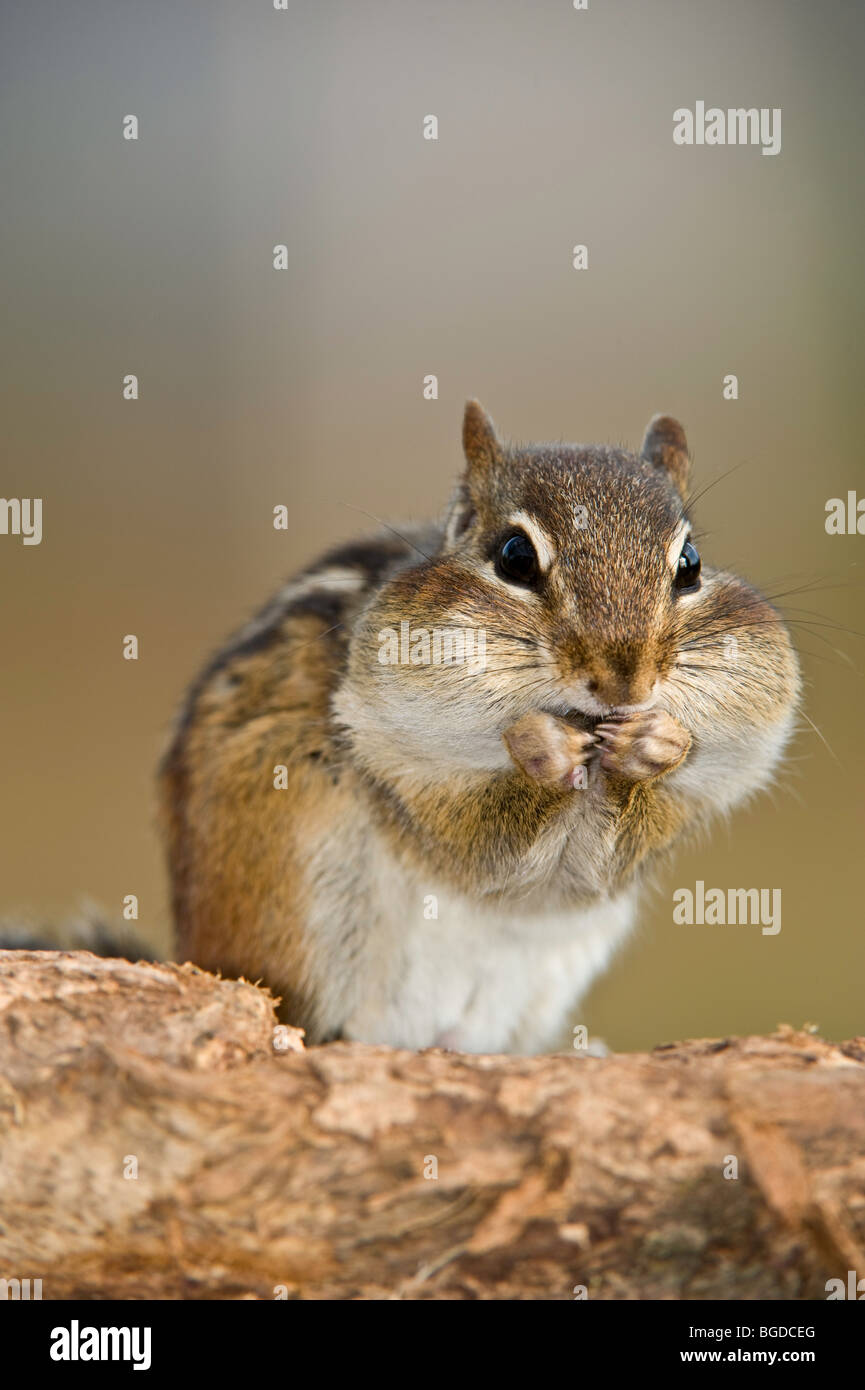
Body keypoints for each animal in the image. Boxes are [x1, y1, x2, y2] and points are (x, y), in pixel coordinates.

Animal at [156, 401, 800, 1053]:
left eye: (689, 566)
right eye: (515, 556)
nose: (625, 684)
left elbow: (603, 864)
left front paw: (658, 746)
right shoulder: (401, 767)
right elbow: (482, 846)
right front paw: (539, 747)